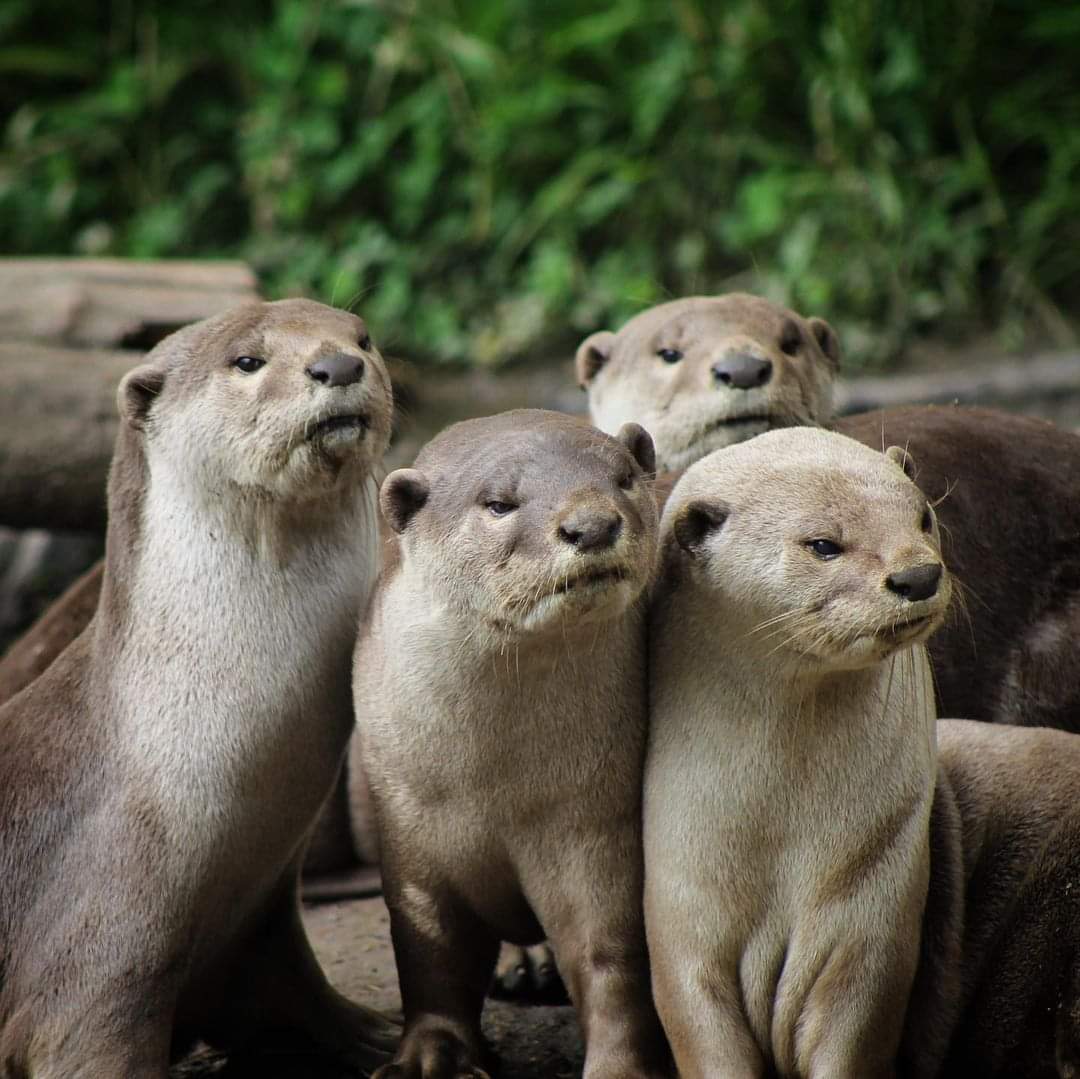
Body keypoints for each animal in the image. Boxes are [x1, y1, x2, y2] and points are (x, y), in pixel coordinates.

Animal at [0, 300, 398, 1076]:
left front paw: (386, 1038)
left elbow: (291, 985)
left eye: (363, 337)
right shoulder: (98, 952)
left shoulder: (262, 910)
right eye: (247, 360)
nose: (337, 364)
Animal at [355, 410, 671, 1079]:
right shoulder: (409, 829)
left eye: (624, 479)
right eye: (499, 503)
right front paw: (429, 1057)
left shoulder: (593, 828)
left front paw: (620, 1066)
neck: (495, 785)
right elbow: (430, 953)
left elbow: (610, 953)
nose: (592, 524)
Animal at [646, 427, 1080, 1078]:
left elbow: (853, 1028)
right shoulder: (680, 911)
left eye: (924, 516)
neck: (781, 845)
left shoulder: (874, 912)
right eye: (823, 545)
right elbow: (702, 1034)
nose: (918, 575)